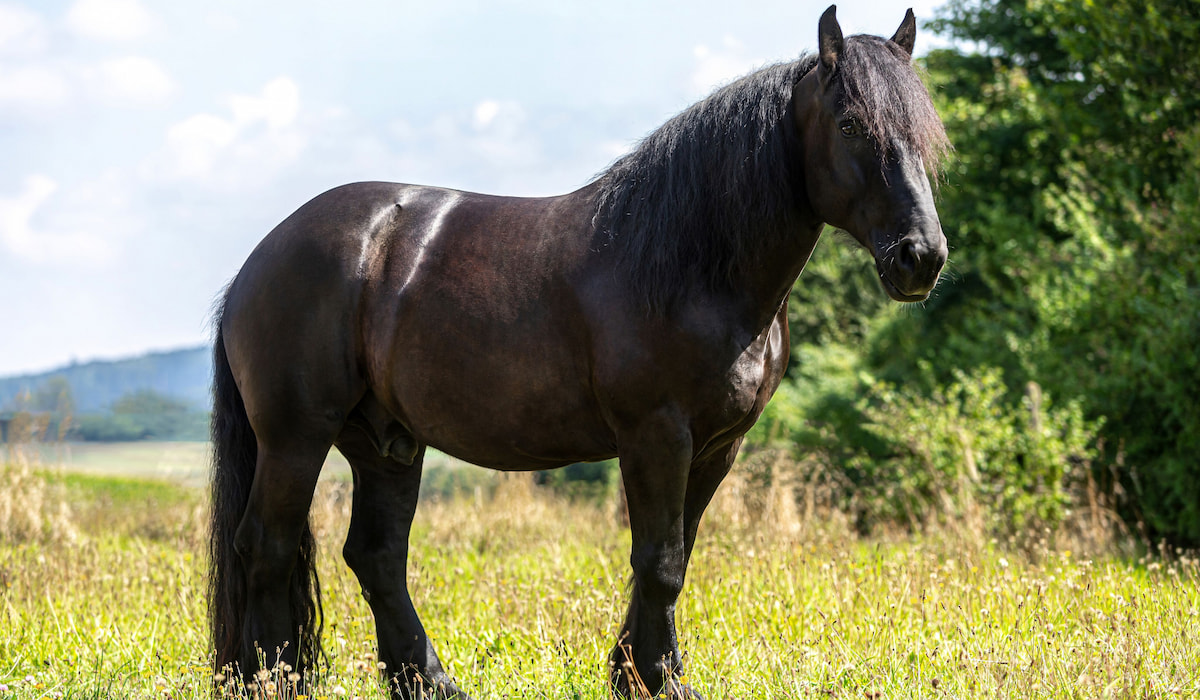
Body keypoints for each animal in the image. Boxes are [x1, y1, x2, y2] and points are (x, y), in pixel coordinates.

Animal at [208, 5, 949, 698]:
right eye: (850, 124)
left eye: (924, 133)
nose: (921, 257)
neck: (690, 264)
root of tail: (257, 262)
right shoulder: (656, 434)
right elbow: (659, 562)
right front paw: (655, 679)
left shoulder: (718, 445)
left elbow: (677, 555)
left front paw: (641, 674)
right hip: (296, 436)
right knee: (267, 546)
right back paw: (275, 680)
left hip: (386, 442)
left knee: (376, 556)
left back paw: (430, 681)